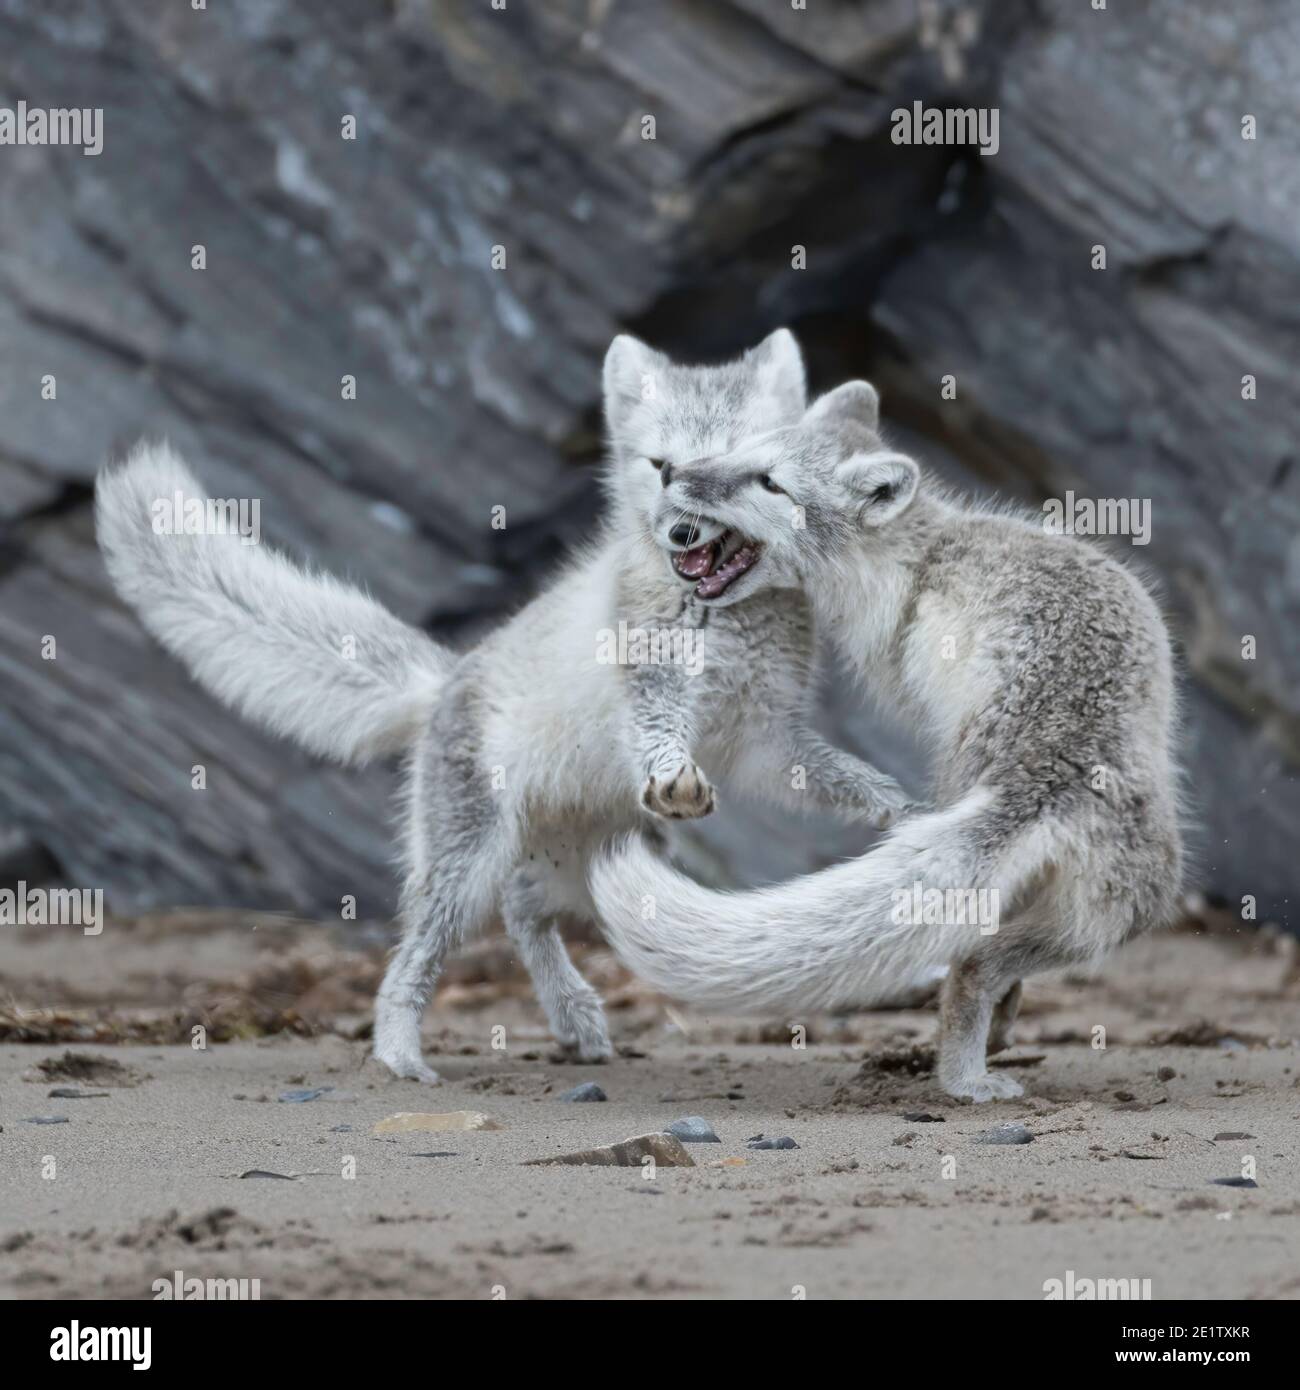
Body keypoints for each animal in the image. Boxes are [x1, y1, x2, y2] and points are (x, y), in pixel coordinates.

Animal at [94, 331, 913, 1084]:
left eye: (748, 475)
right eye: (667, 470)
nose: (681, 532)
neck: (722, 621)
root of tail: (447, 679)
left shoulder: (766, 740)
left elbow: (838, 775)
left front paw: (898, 808)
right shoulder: (653, 686)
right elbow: (660, 735)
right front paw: (675, 775)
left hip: (597, 861)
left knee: (524, 913)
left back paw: (574, 1020)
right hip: (470, 866)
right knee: (417, 956)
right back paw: (402, 1056)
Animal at [588, 379, 1184, 1101]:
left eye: (769, 481)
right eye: (736, 453)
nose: (675, 473)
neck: (919, 566)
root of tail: (1055, 755)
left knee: (971, 960)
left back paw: (963, 1077)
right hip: (1115, 914)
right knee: (983, 955)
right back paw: (990, 1044)